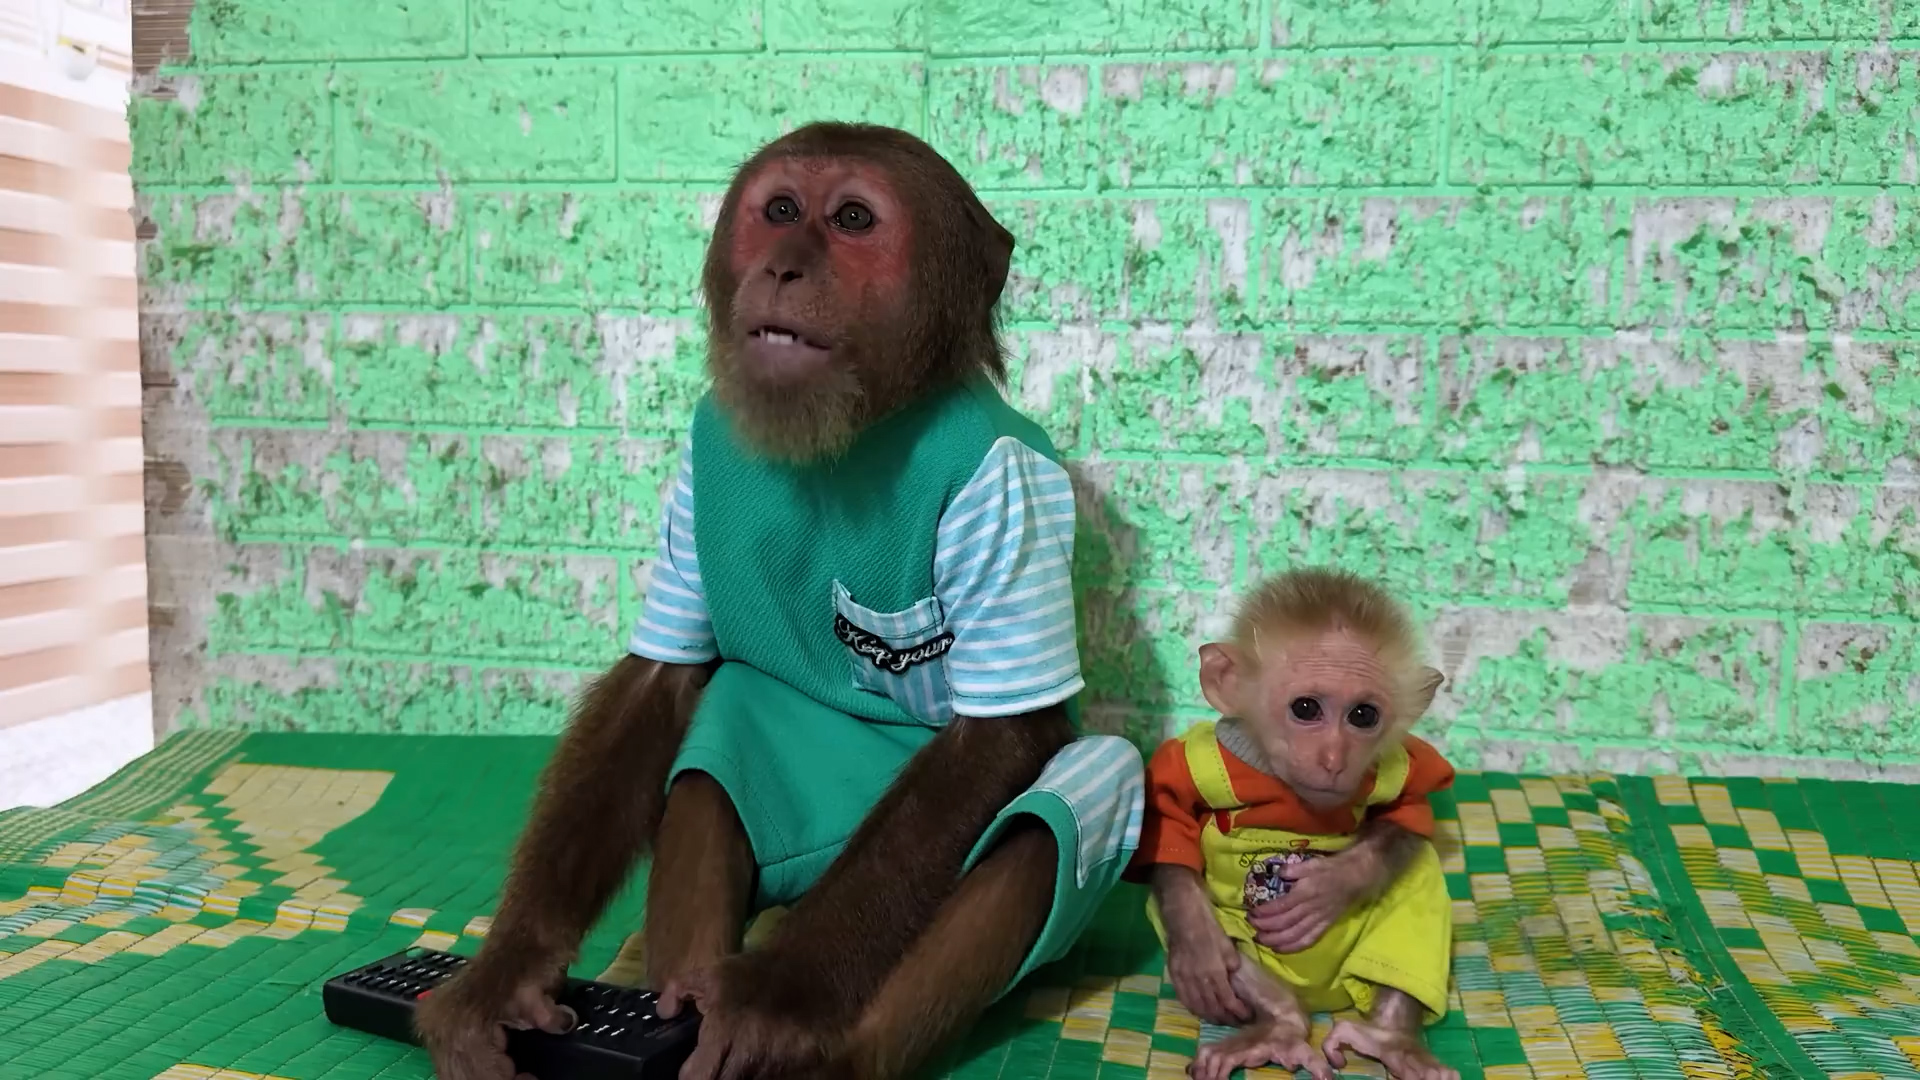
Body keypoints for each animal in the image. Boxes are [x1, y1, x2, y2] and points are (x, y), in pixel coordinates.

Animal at [412, 122, 1146, 1080]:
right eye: (784, 210)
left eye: (853, 219)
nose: (787, 265)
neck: (859, 428)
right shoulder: (696, 470)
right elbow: (660, 683)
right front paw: (509, 965)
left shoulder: (1009, 491)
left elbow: (999, 740)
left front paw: (779, 996)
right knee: (730, 717)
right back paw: (674, 1003)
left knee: (1070, 799)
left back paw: (821, 1054)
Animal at [1126, 567, 1457, 1080]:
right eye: (1306, 708)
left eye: (1363, 715)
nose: (1334, 760)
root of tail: (1320, 998)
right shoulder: (1189, 758)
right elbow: (1168, 824)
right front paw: (1198, 947)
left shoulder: (1398, 763)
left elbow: (1411, 810)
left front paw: (1331, 886)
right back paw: (1280, 1024)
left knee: (1418, 872)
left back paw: (1389, 1038)